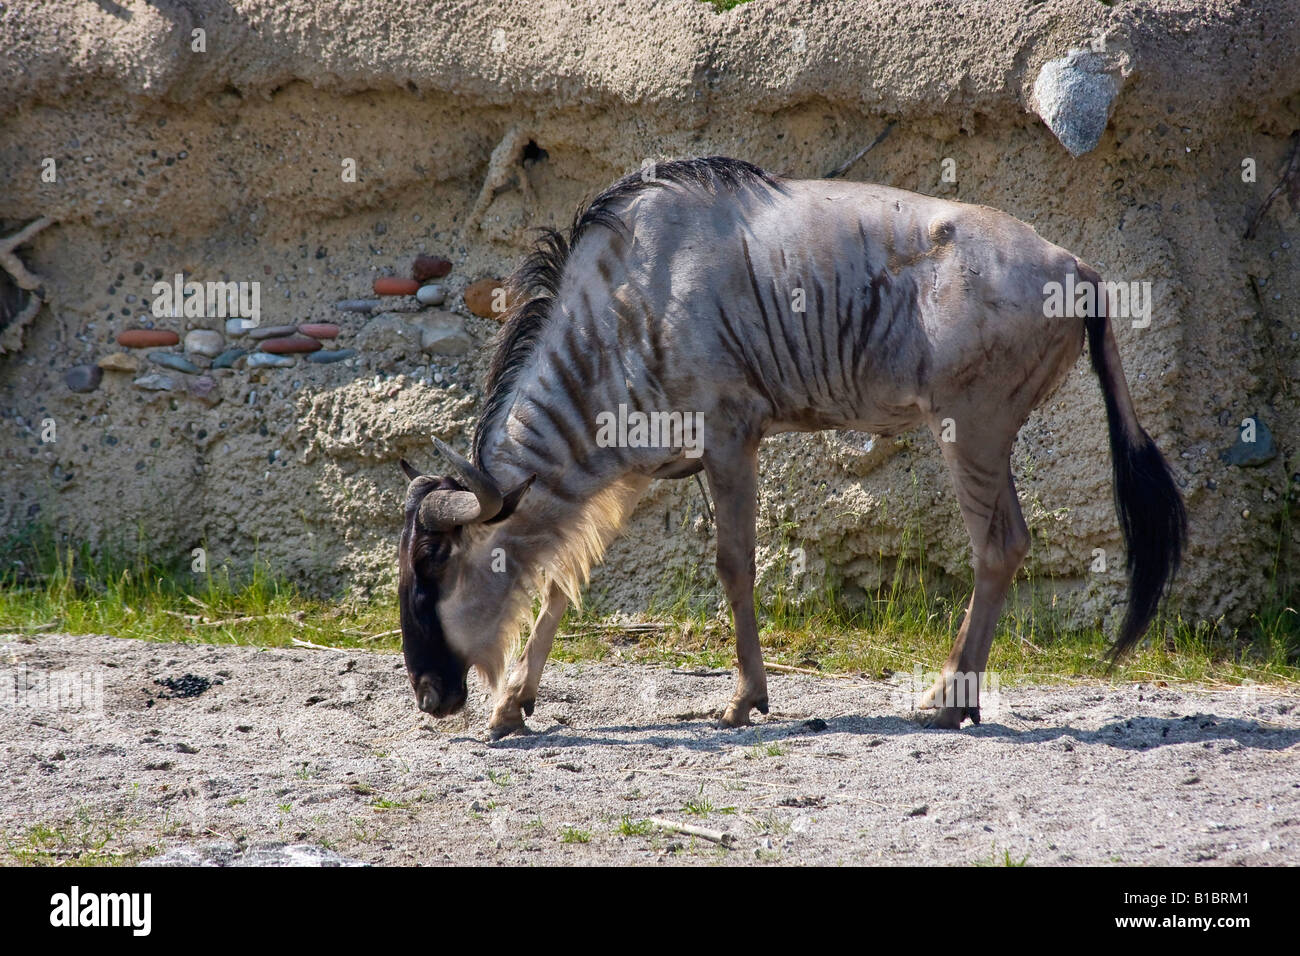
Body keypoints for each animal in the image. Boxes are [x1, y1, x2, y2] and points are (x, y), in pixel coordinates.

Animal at [397, 157, 1186, 737]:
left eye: (434, 562)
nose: (430, 695)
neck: (618, 313)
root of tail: (1079, 269)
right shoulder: (635, 470)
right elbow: (566, 579)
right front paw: (513, 704)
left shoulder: (729, 439)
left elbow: (734, 565)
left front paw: (744, 699)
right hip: (983, 435)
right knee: (1009, 542)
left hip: (973, 429)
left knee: (999, 545)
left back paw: (947, 699)